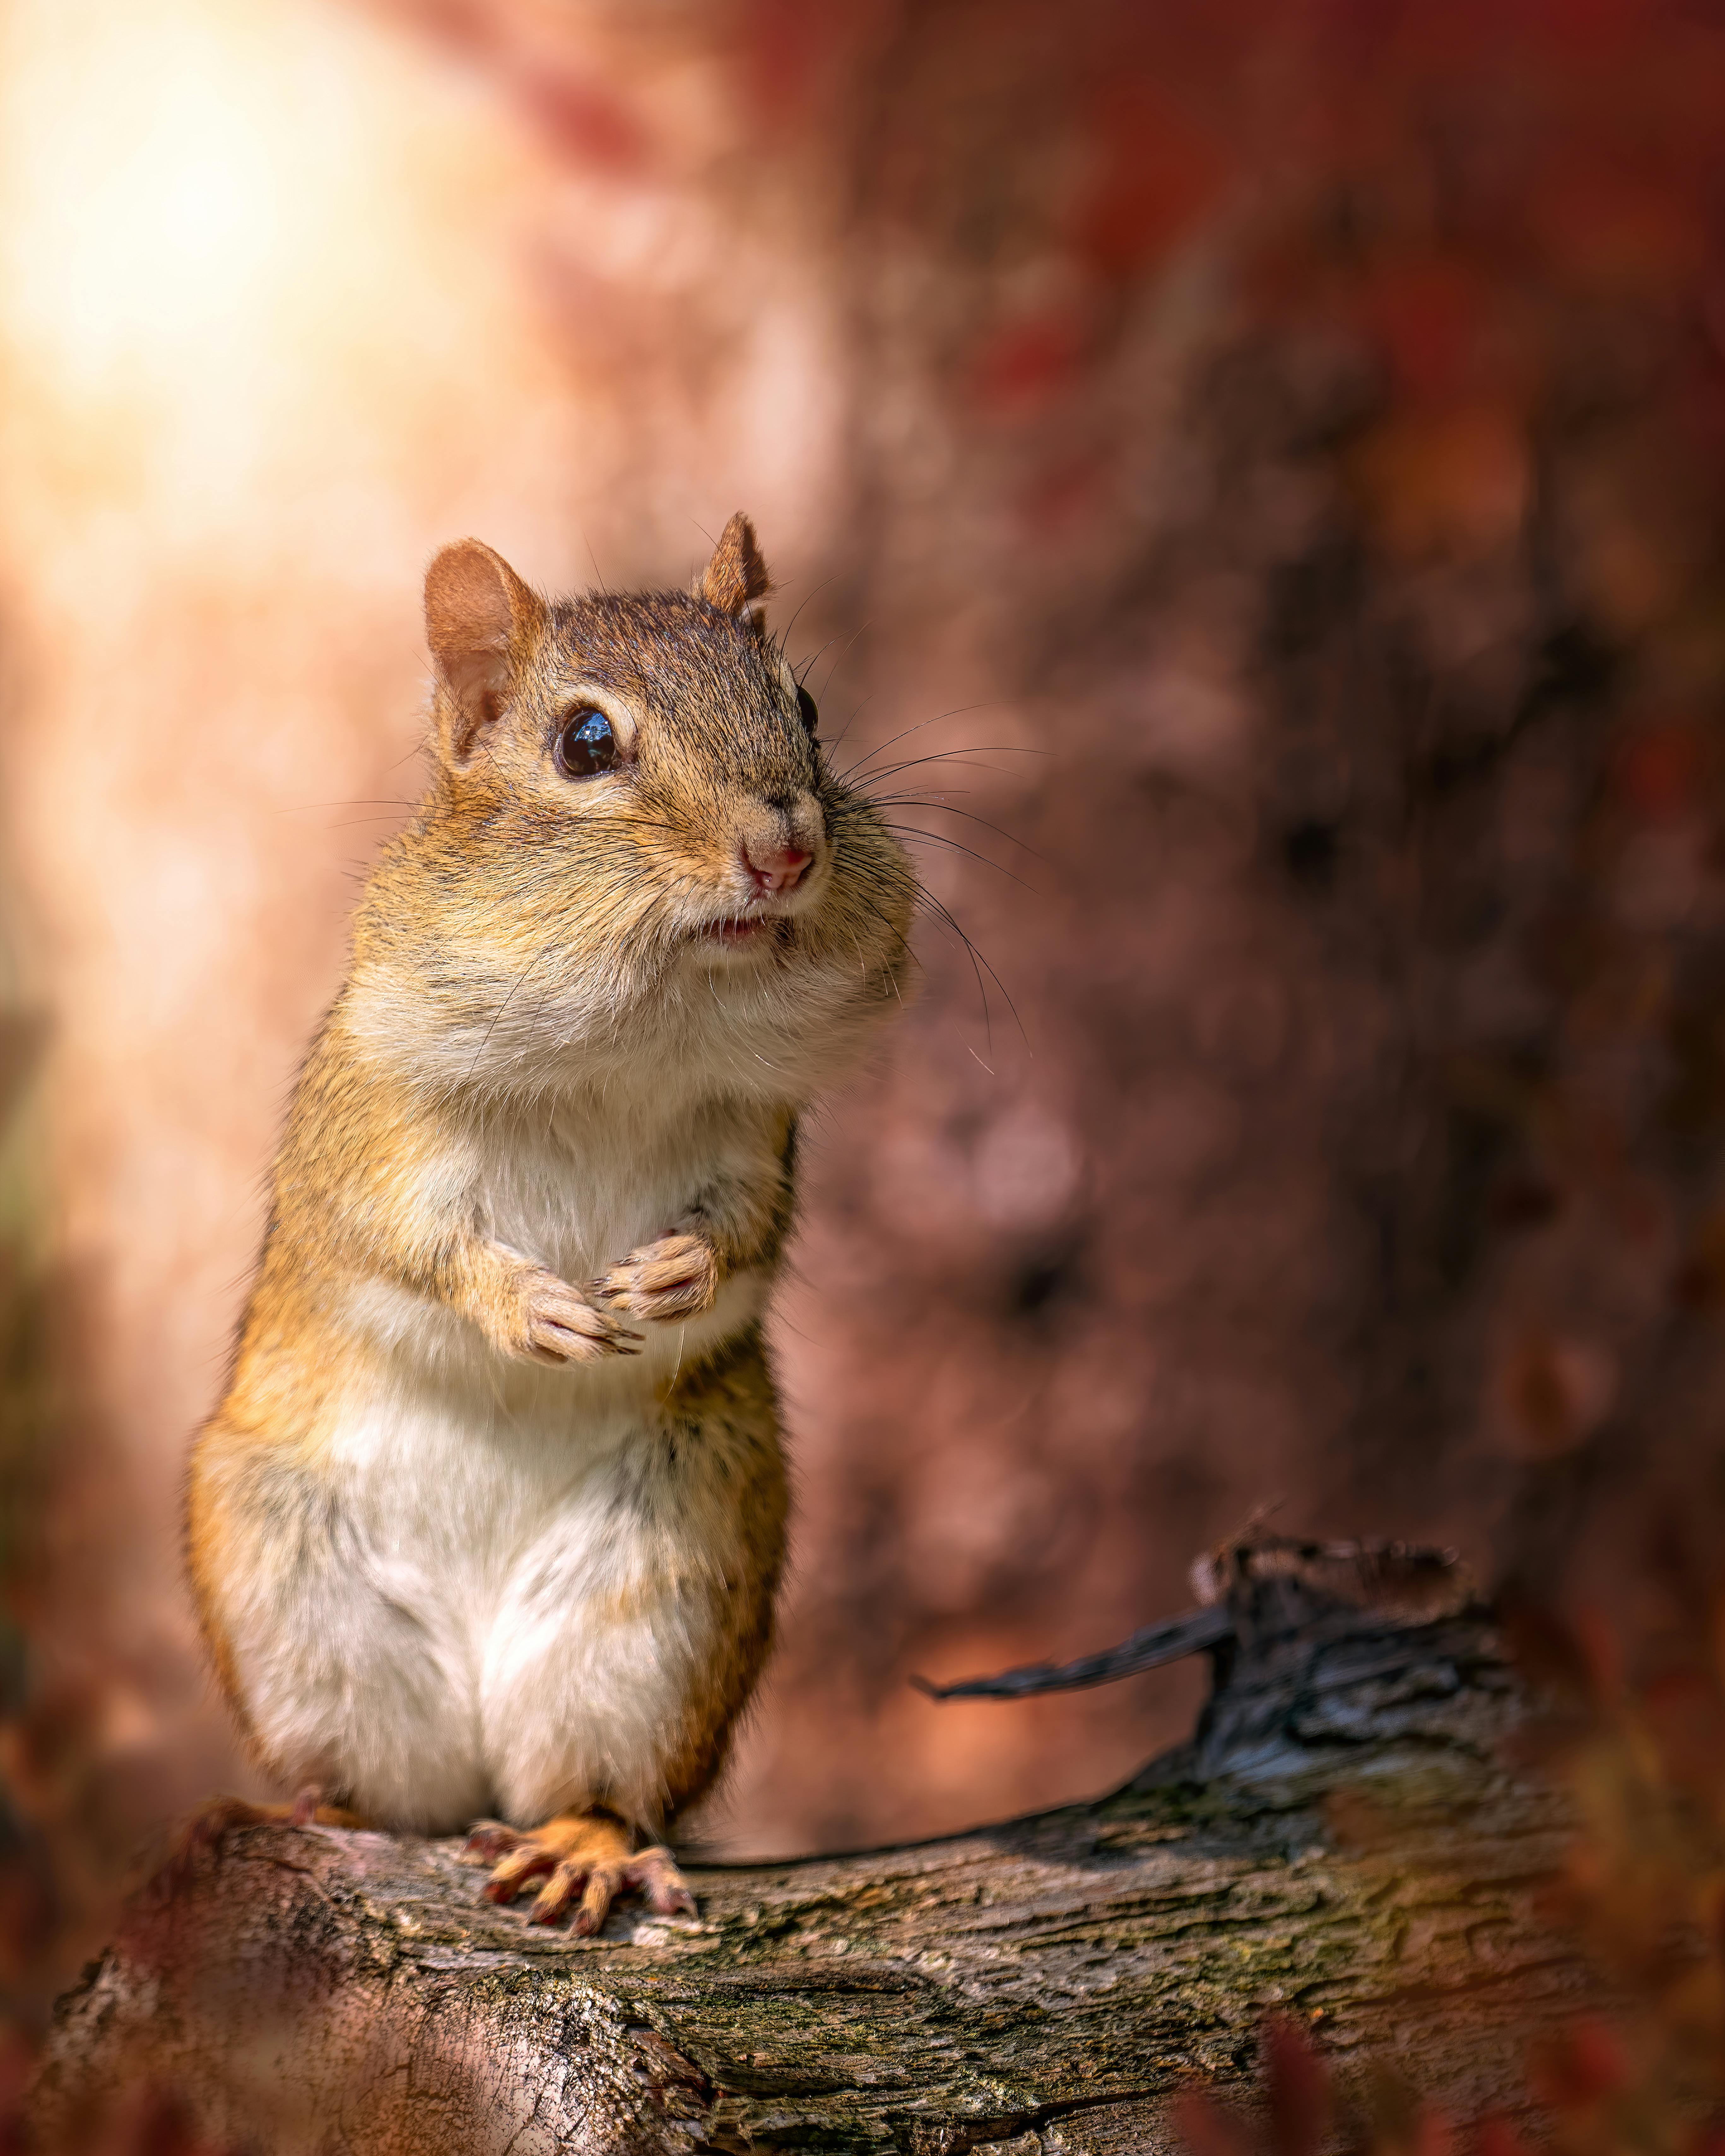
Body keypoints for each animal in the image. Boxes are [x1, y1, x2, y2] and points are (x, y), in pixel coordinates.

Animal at [184, 515, 914, 1933]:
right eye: (584, 742)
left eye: (804, 705)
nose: (786, 850)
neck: (637, 1037)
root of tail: (478, 1760)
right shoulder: (379, 1119)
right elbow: (403, 1240)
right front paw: (528, 1306)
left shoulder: (753, 1136)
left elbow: (750, 1231)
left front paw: (674, 1277)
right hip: (282, 1581)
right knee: (373, 1787)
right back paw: (300, 1811)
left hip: (667, 1596)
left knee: (602, 1784)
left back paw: (577, 1842)